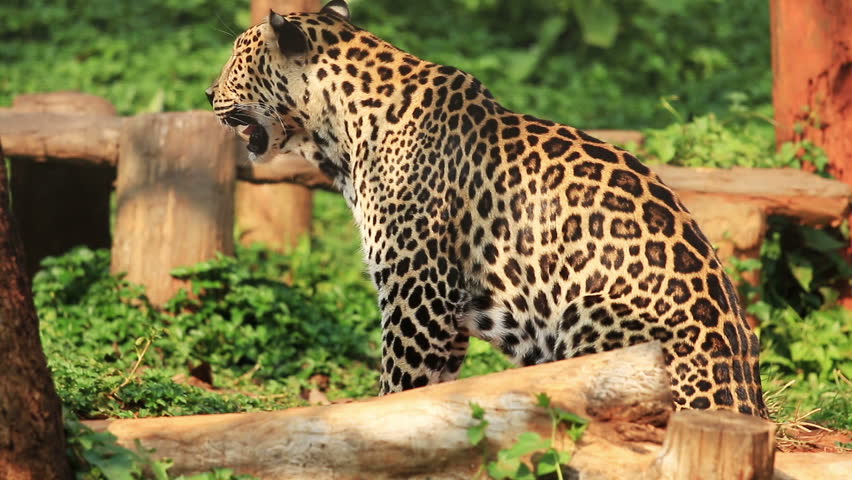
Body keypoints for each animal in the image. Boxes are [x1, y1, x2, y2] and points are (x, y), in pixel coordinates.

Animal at [206, 0, 768, 417]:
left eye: (237, 59)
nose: (209, 92)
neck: (342, 135)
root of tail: (745, 408)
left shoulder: (417, 298)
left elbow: (396, 389)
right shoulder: (447, 319)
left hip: (591, 317)